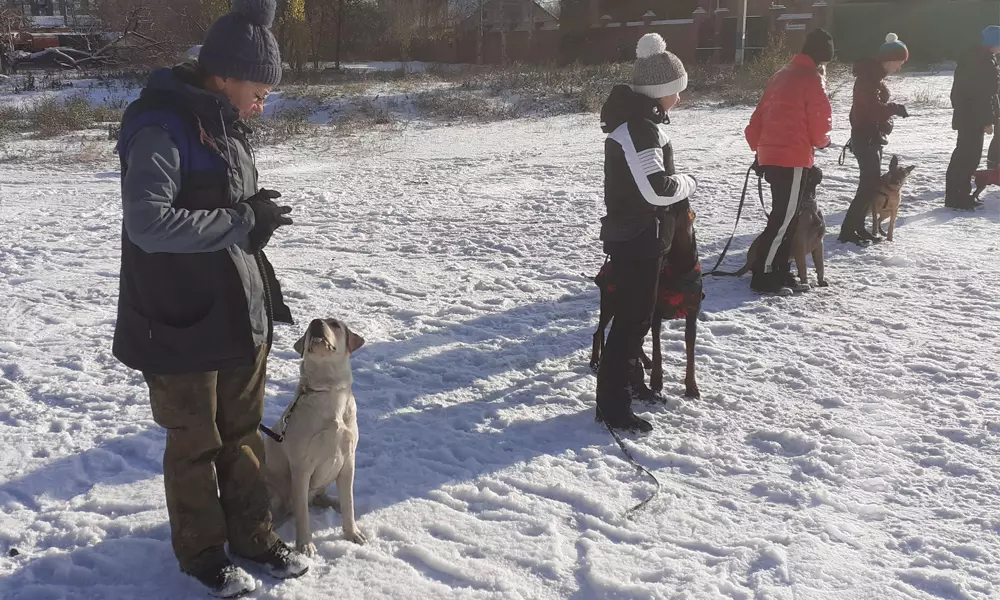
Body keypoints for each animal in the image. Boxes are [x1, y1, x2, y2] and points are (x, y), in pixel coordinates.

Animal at [264, 316, 370, 556]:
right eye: (307, 329)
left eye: (335, 324)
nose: (315, 322)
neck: (328, 390)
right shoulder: (302, 467)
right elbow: (303, 514)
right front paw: (305, 545)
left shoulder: (348, 460)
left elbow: (349, 502)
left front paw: (352, 533)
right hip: (273, 493)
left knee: (327, 498)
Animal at [584, 206, 704, 398]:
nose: (682, 201)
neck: (680, 266)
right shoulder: (656, 315)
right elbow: (657, 350)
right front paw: (656, 381)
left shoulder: (692, 315)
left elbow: (690, 354)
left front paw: (691, 387)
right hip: (611, 303)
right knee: (599, 332)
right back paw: (595, 360)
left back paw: (645, 361)